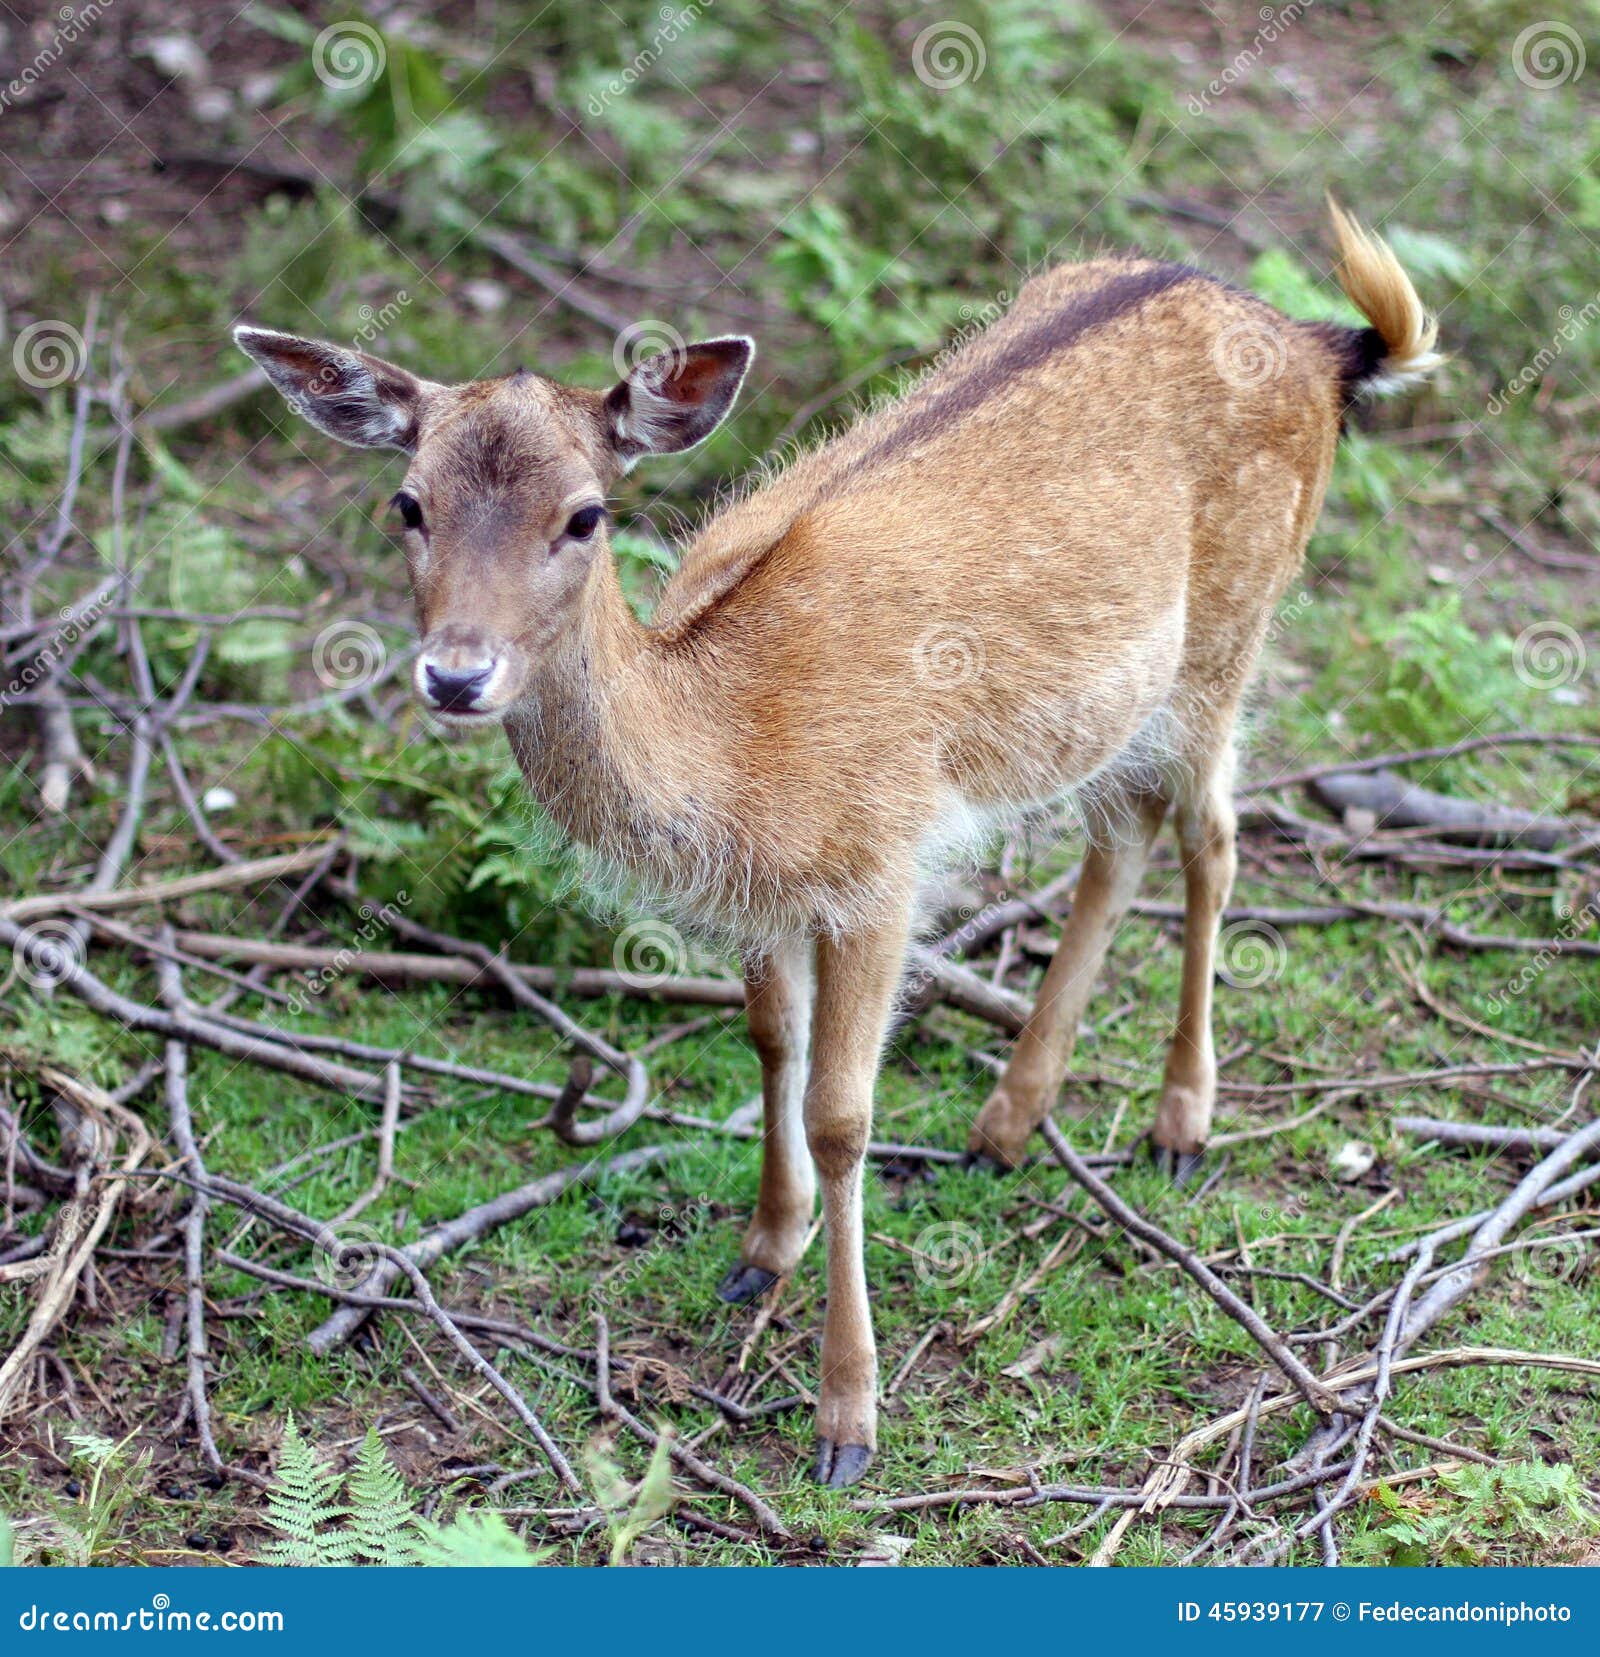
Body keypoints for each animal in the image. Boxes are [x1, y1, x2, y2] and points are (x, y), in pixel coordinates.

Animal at [234, 201, 1440, 1488]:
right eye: (408, 503)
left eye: (586, 514)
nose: (457, 675)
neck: (740, 747)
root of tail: (1320, 344)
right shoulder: (769, 898)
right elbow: (771, 1040)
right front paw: (761, 1247)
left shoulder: (880, 866)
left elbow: (843, 1112)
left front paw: (847, 1417)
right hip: (1117, 705)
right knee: (1121, 833)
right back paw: (1005, 1125)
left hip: (1228, 639)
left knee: (1213, 835)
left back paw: (1178, 1124)